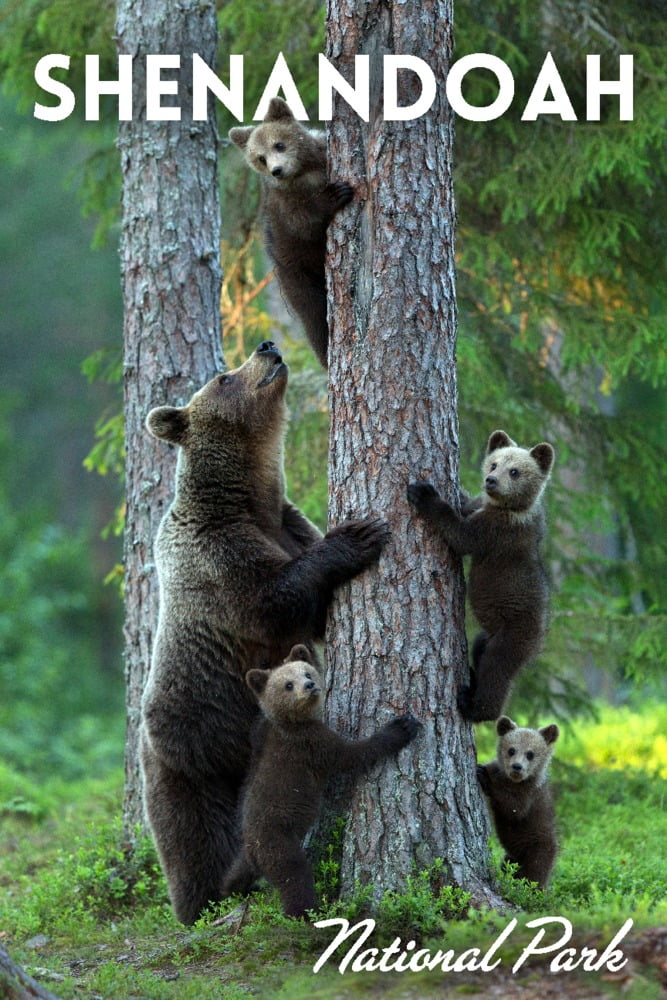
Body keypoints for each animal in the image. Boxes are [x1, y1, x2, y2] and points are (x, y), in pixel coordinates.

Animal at [140, 340, 391, 925]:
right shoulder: (217, 555)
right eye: (223, 377)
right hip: (192, 753)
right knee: (193, 837)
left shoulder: (286, 524)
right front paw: (359, 535)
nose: (267, 345)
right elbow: (273, 599)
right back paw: (204, 900)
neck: (249, 499)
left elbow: (313, 611)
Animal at [223, 644, 420, 918]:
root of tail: (253, 849)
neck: (291, 721)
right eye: (288, 684)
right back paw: (306, 913)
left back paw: (237, 889)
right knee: (295, 877)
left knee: (234, 874)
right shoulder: (310, 744)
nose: (309, 686)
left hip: (248, 855)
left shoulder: (263, 734)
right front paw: (401, 727)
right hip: (278, 843)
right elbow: (352, 754)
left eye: (306, 672)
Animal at [229, 97, 353, 368]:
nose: (277, 170)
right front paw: (336, 195)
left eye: (279, 144)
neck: (305, 171)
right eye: (260, 158)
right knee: (314, 317)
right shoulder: (285, 204)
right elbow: (303, 222)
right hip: (295, 275)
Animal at [407, 429, 555, 722]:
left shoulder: (496, 532)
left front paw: (424, 494)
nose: (491, 480)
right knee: (479, 649)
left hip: (514, 633)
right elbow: (467, 506)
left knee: (497, 670)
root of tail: (539, 638)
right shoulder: (484, 509)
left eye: (515, 471)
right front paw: (459, 494)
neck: (511, 508)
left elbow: (461, 535)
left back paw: (475, 706)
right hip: (487, 634)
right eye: (494, 463)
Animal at [477, 715, 559, 888]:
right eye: (511, 750)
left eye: (530, 754)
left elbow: (514, 808)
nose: (517, 767)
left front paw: (484, 776)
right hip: (512, 857)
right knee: (507, 865)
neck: (514, 781)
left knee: (534, 875)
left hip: (538, 848)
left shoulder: (529, 795)